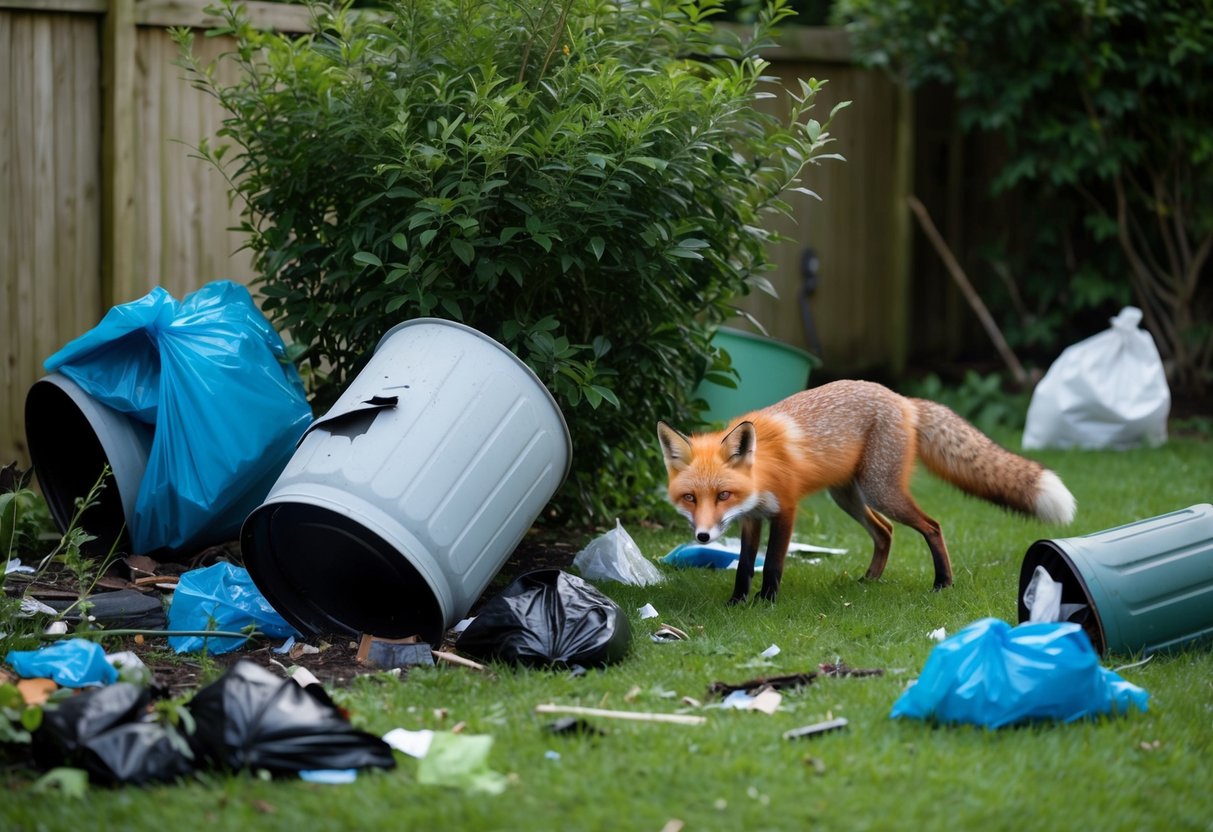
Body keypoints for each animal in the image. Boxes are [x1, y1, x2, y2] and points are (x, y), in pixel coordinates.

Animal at [657, 380, 1076, 604]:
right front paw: (737, 601)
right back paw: (871, 579)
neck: (762, 470)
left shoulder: (786, 510)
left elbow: (773, 563)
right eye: (690, 498)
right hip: (849, 497)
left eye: (722, 495)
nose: (703, 536)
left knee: (932, 526)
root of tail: (903, 399)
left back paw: (942, 582)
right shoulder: (751, 519)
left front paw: (766, 601)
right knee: (885, 532)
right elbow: (745, 565)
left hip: (880, 492)